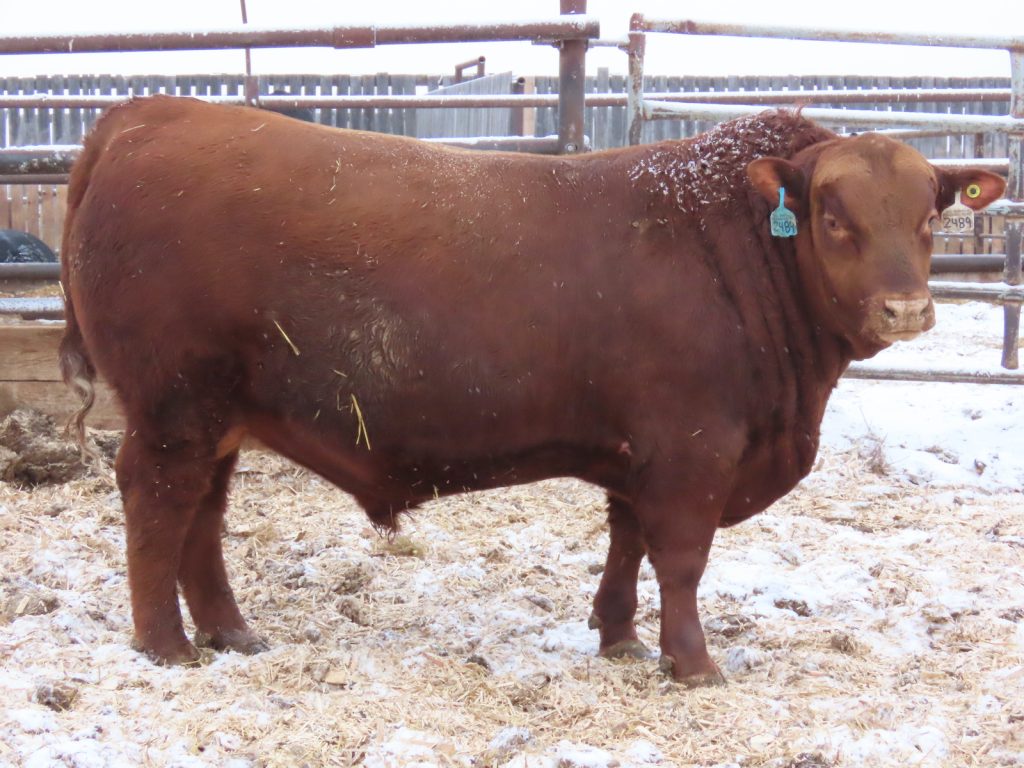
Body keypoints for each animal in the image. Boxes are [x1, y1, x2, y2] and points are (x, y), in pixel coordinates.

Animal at [59, 95, 1004, 687]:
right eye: (835, 218)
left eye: (930, 217)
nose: (906, 307)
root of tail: (153, 112)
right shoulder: (692, 449)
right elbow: (681, 559)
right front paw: (693, 664)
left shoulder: (639, 451)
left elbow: (627, 543)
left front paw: (620, 638)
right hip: (174, 409)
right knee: (158, 504)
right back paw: (166, 645)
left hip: (219, 415)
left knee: (202, 516)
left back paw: (229, 631)